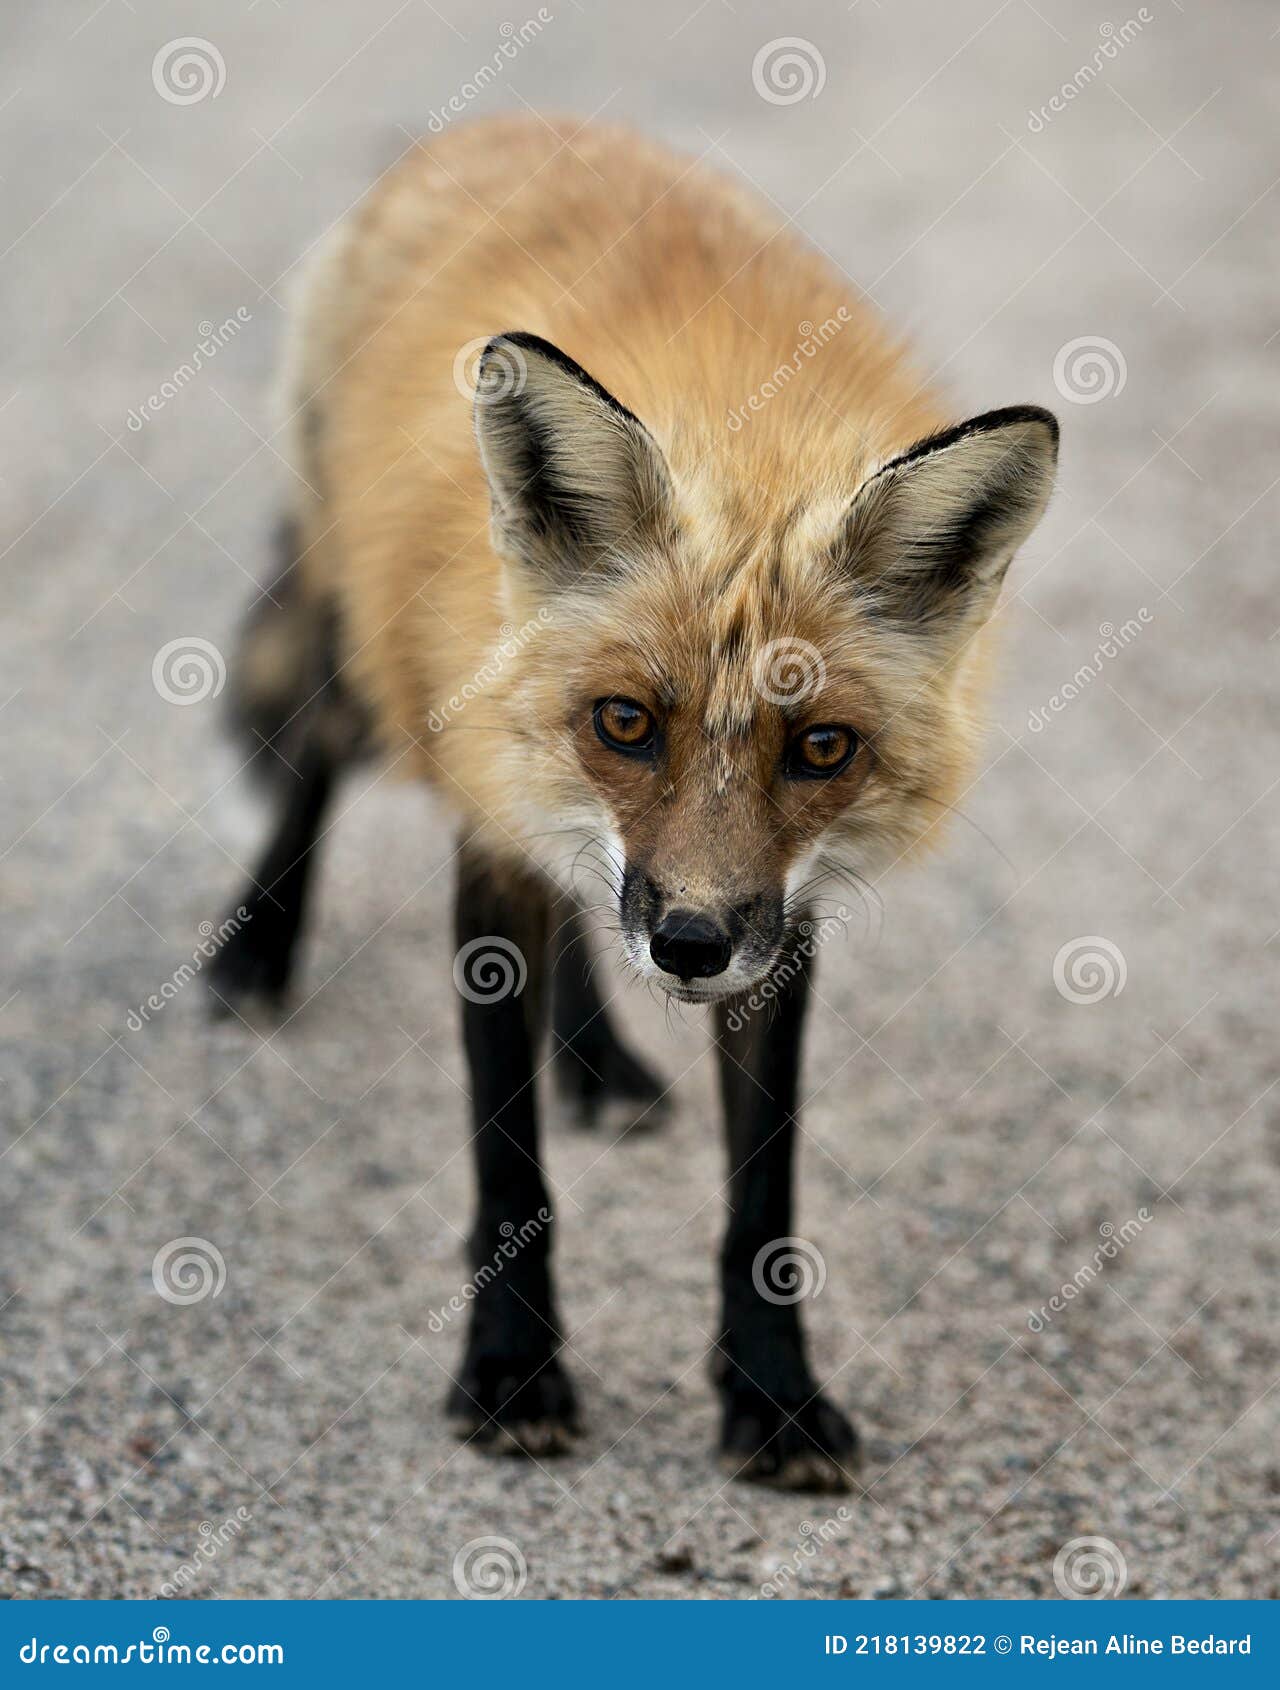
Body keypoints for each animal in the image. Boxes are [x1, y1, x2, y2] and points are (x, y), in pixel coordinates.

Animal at [206, 115, 1058, 1492]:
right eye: (624, 723)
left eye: (821, 747)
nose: (690, 945)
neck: (743, 436)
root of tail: (508, 123)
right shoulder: (494, 830)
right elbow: (510, 1174)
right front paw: (512, 1369)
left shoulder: (777, 919)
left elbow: (761, 1205)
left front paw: (771, 1395)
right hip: (364, 637)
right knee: (312, 754)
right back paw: (257, 946)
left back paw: (597, 1060)